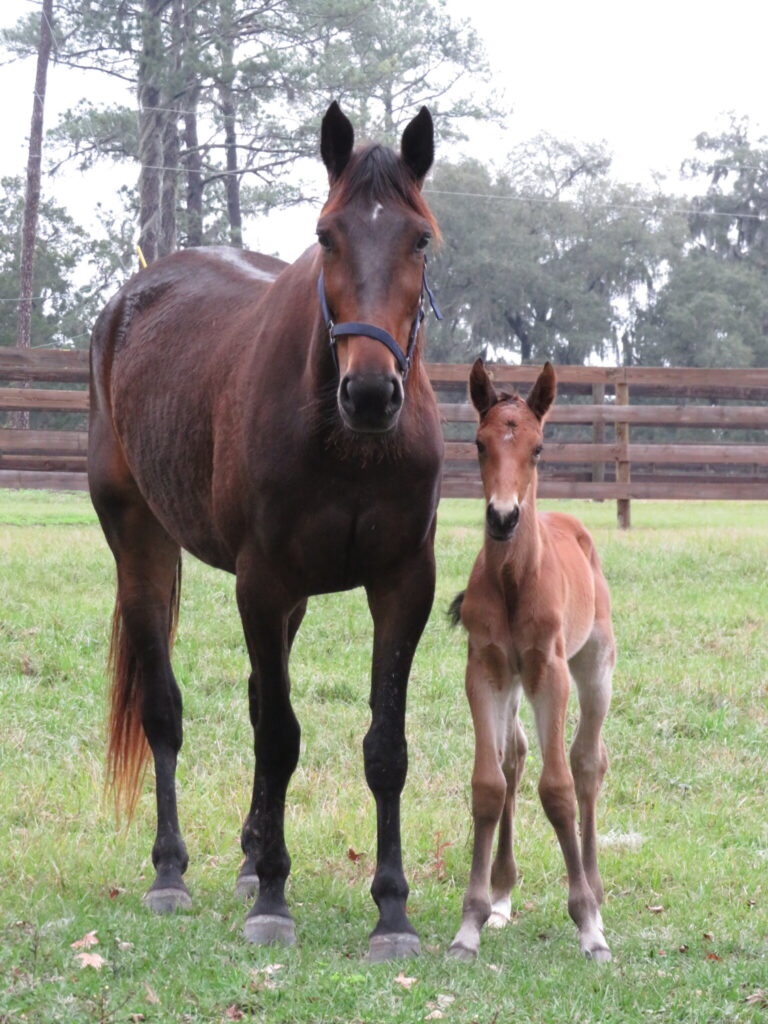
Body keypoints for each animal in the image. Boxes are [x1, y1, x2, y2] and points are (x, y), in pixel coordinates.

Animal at [88, 101, 444, 962]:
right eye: (326, 236)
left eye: (420, 239)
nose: (372, 393)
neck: (348, 441)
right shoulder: (264, 581)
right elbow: (280, 737)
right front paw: (276, 902)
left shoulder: (403, 584)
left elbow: (384, 747)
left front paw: (391, 910)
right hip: (141, 545)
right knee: (164, 710)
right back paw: (172, 871)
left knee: (255, 702)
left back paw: (252, 856)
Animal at [447, 359, 615, 962]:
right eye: (477, 443)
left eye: (538, 448)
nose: (502, 517)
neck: (515, 582)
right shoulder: (486, 669)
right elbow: (489, 783)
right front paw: (470, 921)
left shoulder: (551, 672)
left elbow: (559, 788)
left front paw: (587, 923)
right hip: (516, 684)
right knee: (515, 757)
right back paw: (501, 895)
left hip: (596, 668)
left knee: (588, 763)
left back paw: (596, 890)